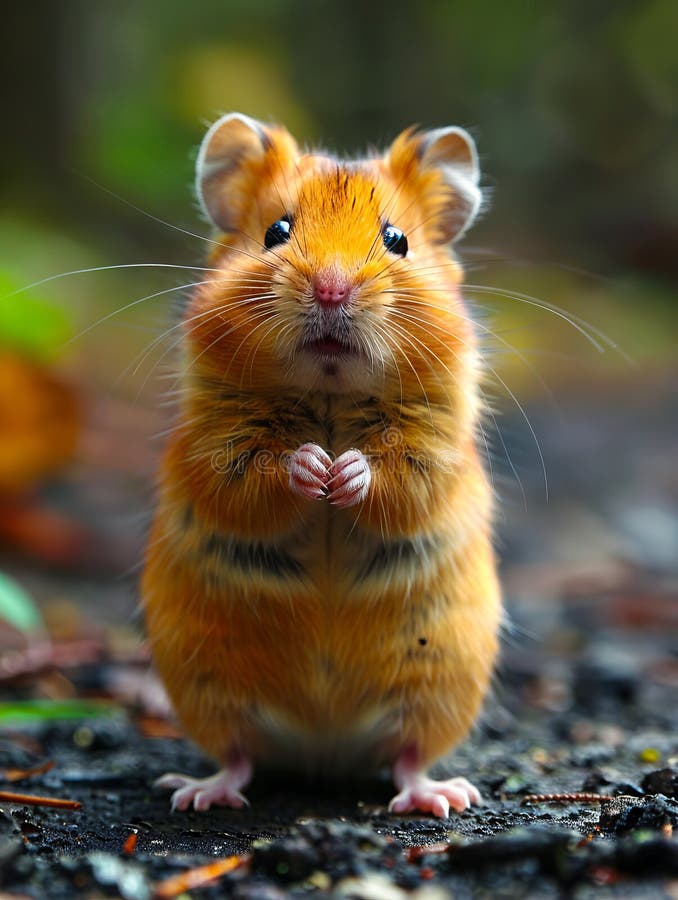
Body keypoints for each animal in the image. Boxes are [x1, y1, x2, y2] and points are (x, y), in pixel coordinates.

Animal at [143, 113, 501, 818]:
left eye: (397, 240)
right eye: (275, 232)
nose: (332, 289)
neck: (330, 395)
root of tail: (323, 751)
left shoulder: (437, 451)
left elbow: (398, 476)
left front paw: (346, 475)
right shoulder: (212, 449)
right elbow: (257, 473)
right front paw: (314, 469)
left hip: (441, 678)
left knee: (408, 756)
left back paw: (441, 797)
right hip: (203, 676)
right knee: (237, 754)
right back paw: (197, 793)